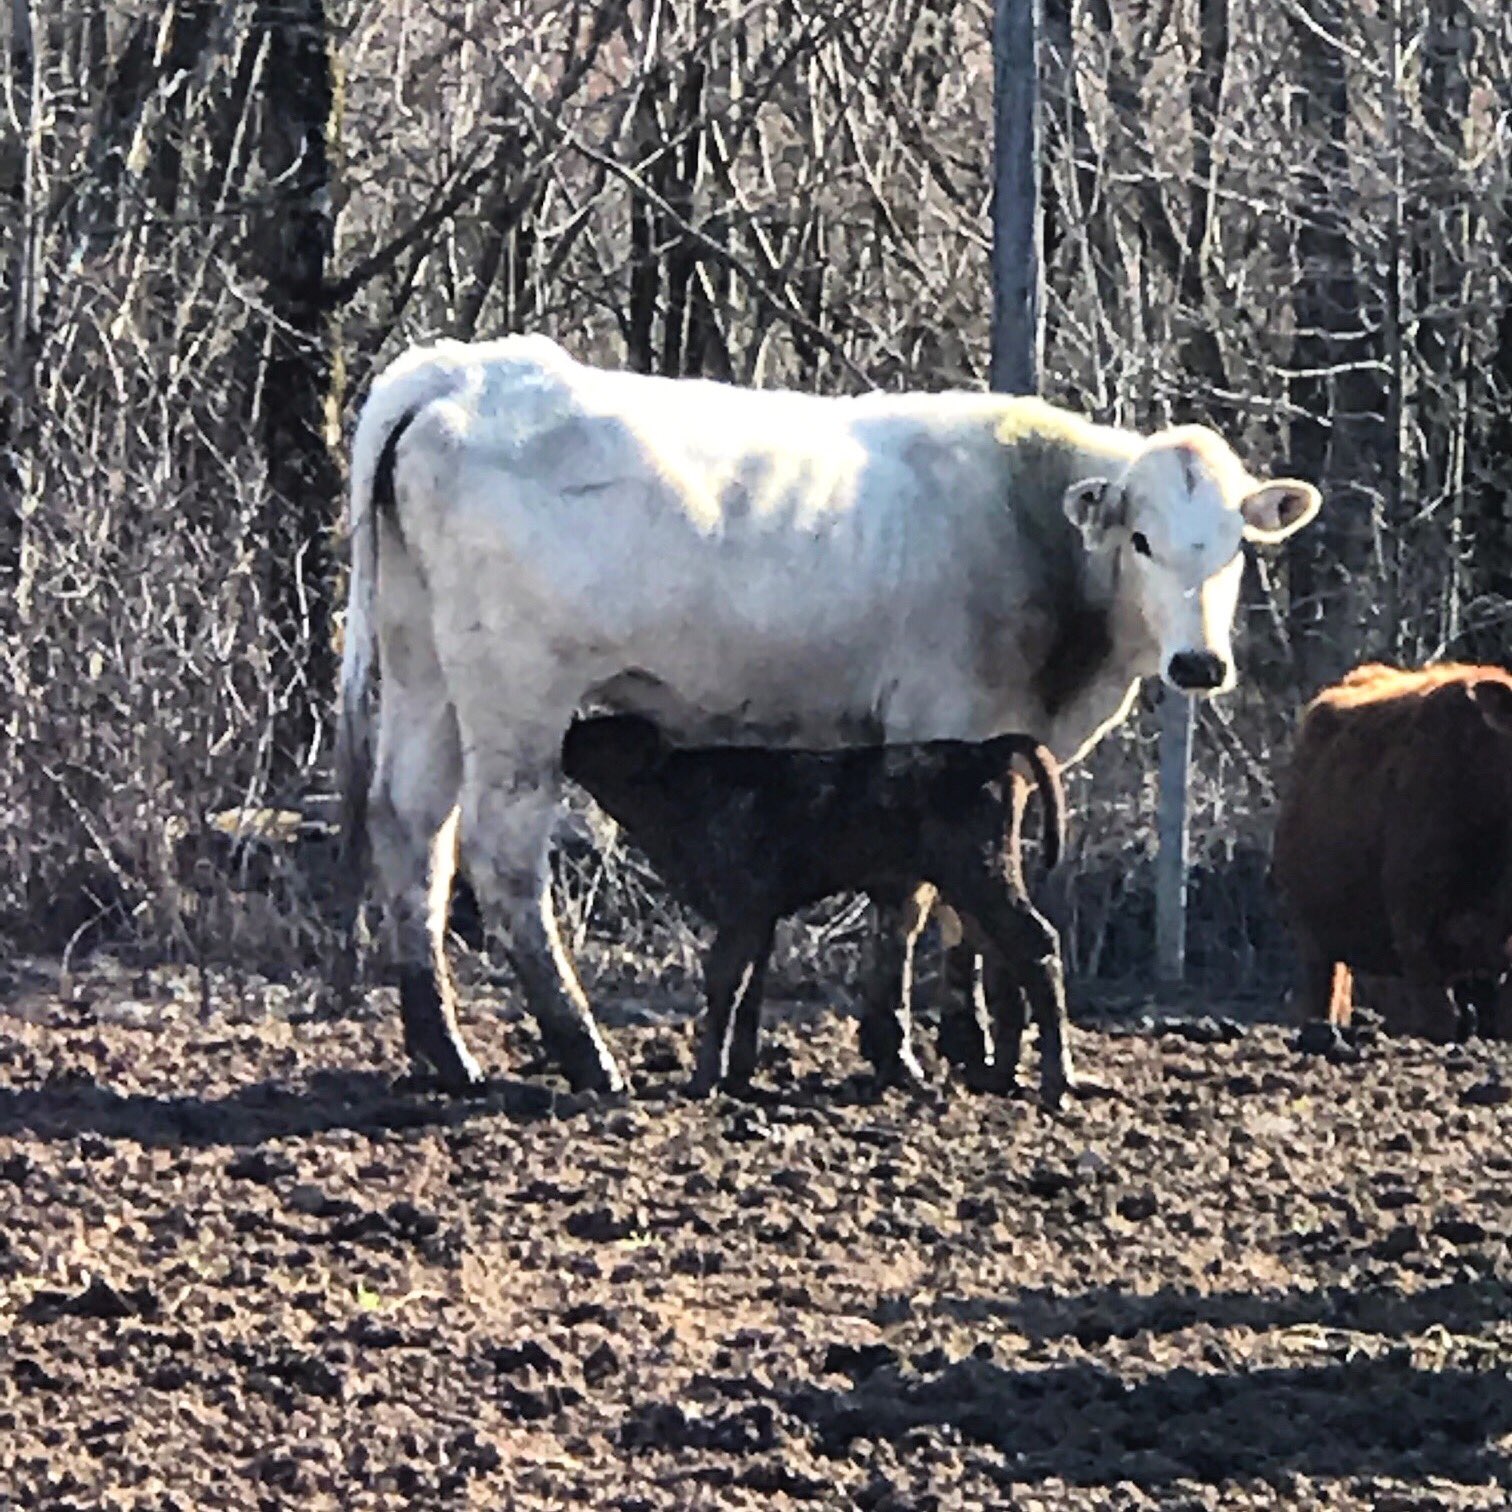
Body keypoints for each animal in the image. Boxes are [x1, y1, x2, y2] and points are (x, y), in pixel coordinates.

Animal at [547, 714, 1067, 1101]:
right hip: (975, 886)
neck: (675, 793)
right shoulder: (758, 917)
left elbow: (724, 985)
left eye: (599, 736)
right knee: (1005, 954)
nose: (563, 736)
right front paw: (735, 1078)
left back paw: (1056, 1082)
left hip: (982, 875)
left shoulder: (741, 908)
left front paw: (703, 1080)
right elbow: (748, 988)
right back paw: (1001, 1075)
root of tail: (985, 751)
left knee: (1036, 944)